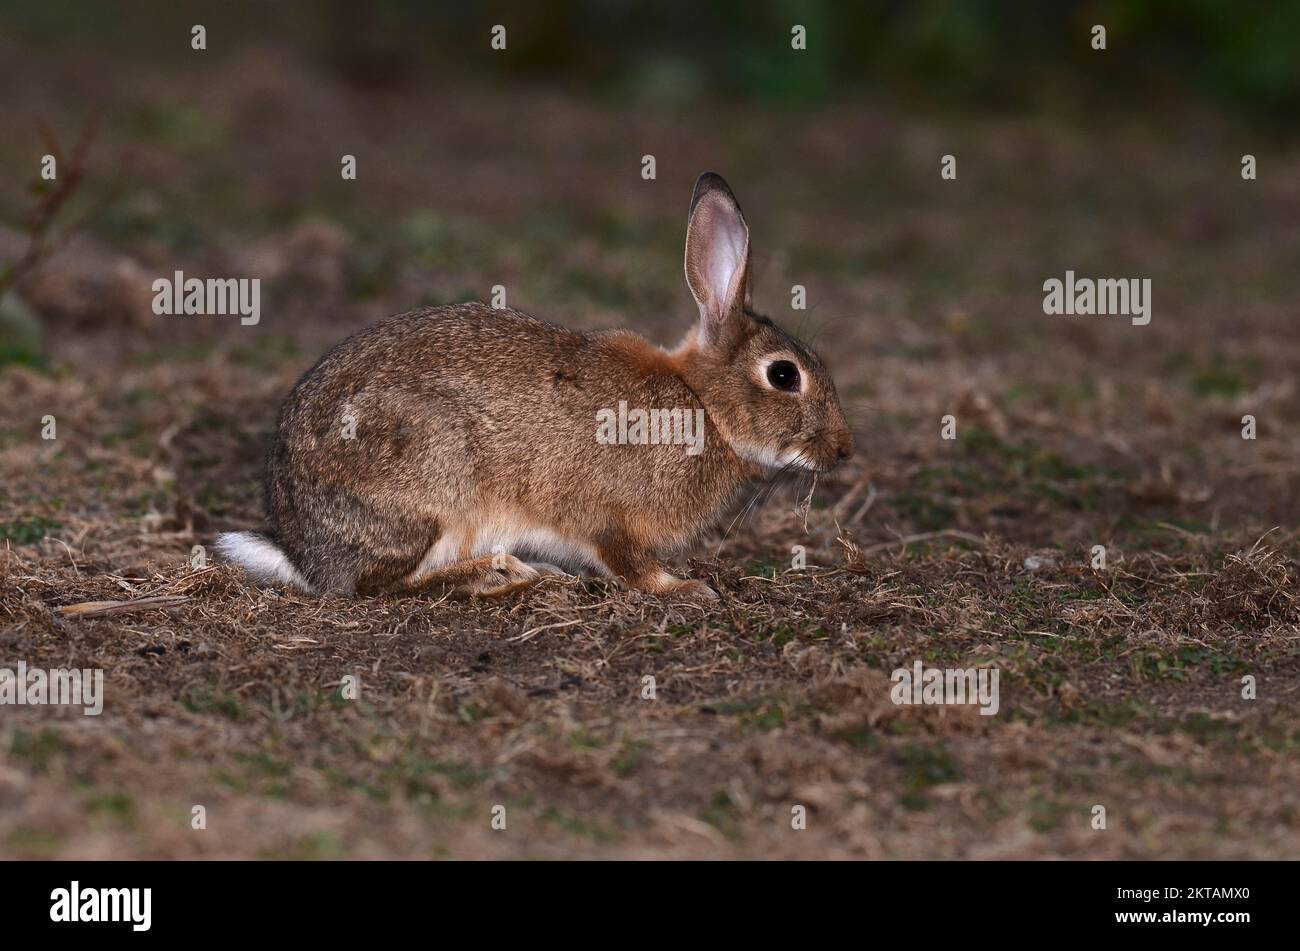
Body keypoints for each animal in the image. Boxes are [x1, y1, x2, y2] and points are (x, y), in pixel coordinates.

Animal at [215, 172, 853, 599]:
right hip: (433, 484)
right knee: (382, 582)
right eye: (783, 375)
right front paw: (682, 587)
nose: (844, 450)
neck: (704, 405)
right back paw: (497, 573)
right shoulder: (609, 519)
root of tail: (303, 552)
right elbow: (628, 562)